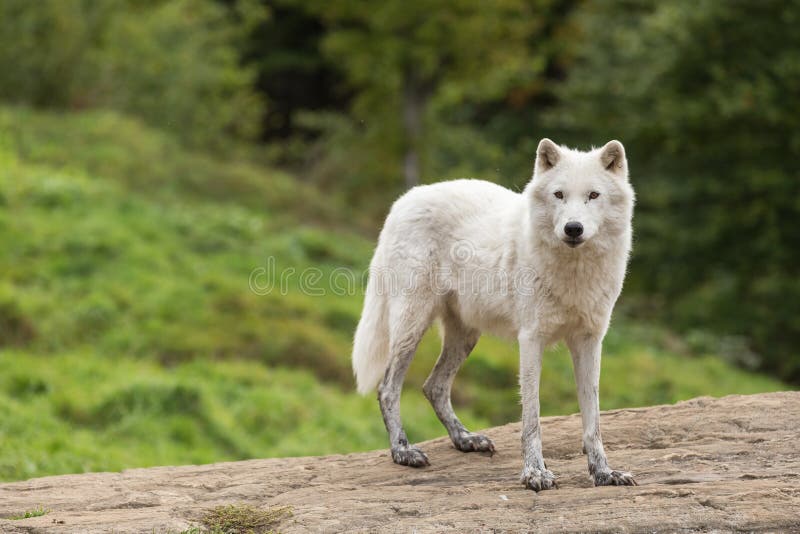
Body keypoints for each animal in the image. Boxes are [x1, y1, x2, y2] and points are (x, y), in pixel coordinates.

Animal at [352, 139, 637, 491]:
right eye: (559, 194)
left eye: (593, 195)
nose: (573, 228)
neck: (574, 274)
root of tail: (404, 200)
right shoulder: (531, 340)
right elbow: (531, 418)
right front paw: (534, 473)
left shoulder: (590, 341)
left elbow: (593, 420)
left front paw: (604, 472)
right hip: (411, 327)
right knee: (388, 388)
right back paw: (403, 451)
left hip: (465, 337)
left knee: (433, 386)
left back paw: (464, 438)